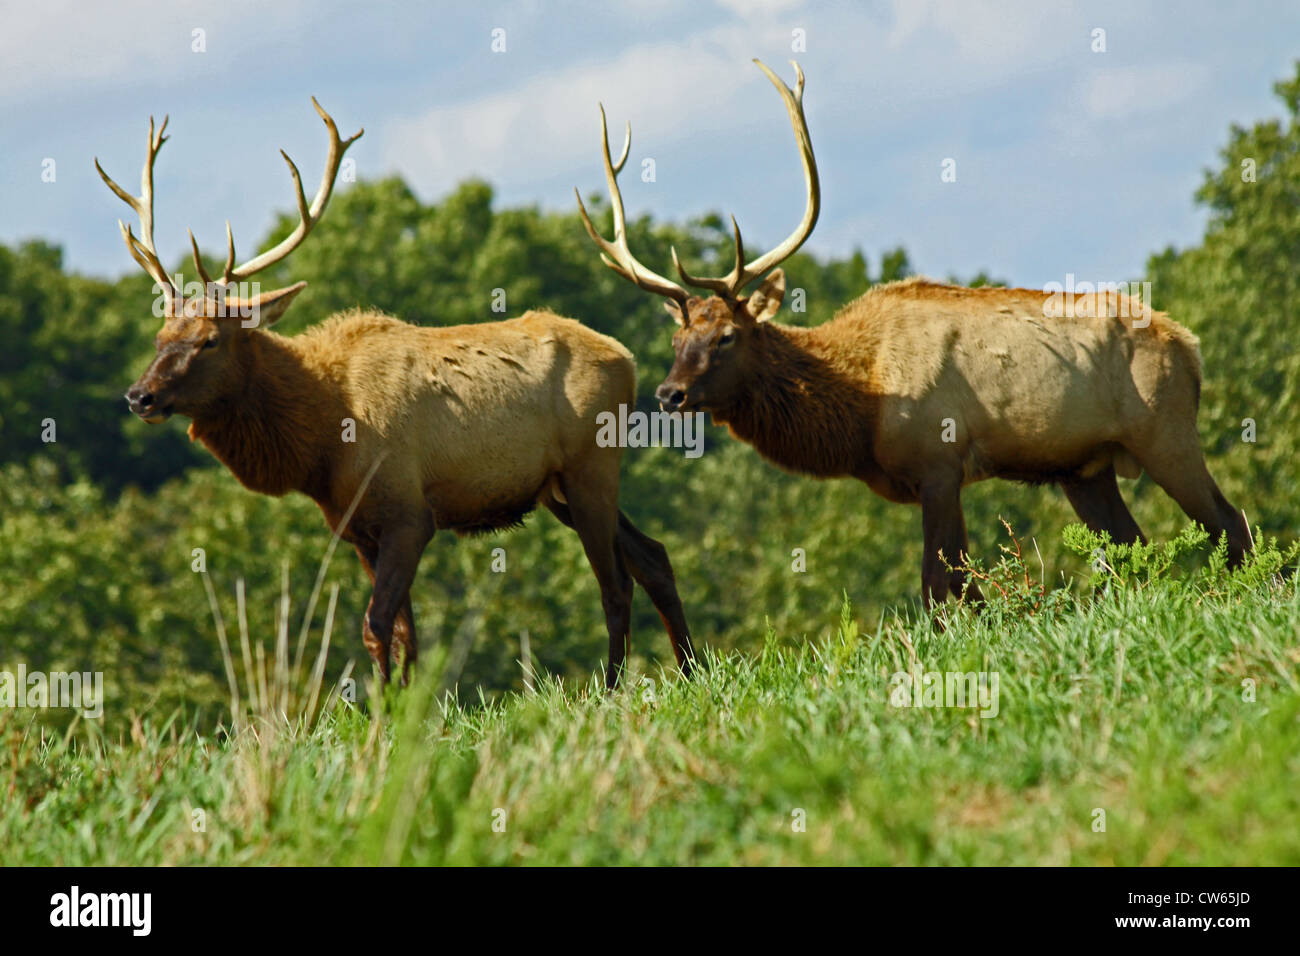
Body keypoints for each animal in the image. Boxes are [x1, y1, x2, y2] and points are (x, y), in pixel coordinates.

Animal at [97, 99, 695, 689]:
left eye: (210, 340)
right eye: (160, 337)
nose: (139, 396)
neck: (322, 443)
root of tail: (628, 360)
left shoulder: (409, 514)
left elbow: (377, 624)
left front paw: (384, 706)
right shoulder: (359, 528)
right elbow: (406, 634)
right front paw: (407, 702)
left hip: (592, 465)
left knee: (615, 585)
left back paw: (614, 685)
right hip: (558, 488)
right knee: (654, 556)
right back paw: (688, 669)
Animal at [577, 59, 1251, 610]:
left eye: (726, 337)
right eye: (676, 342)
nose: (669, 395)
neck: (863, 405)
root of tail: (1190, 347)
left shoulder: (939, 461)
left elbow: (938, 585)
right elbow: (962, 586)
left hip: (1165, 431)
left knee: (1229, 522)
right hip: (1085, 468)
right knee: (1138, 546)